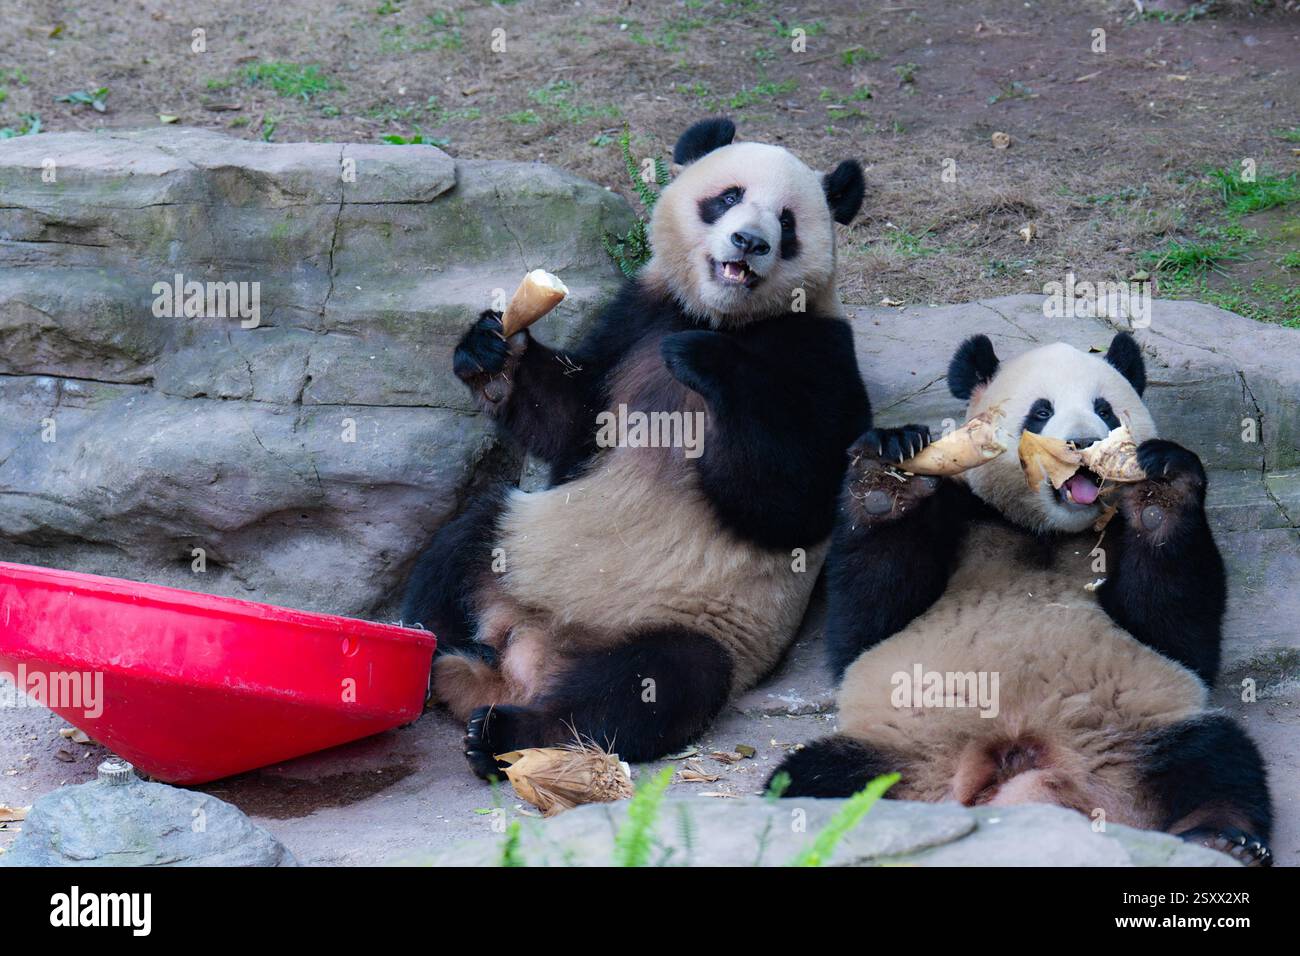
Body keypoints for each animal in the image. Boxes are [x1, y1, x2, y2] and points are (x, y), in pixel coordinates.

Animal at [402, 118, 872, 780]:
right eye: (728, 197)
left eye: (787, 221)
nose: (750, 242)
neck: (721, 316)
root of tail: (522, 666)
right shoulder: (636, 320)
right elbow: (572, 421)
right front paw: (492, 350)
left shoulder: (821, 351)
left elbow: (792, 502)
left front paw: (707, 362)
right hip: (518, 550)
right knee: (464, 543)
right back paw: (416, 658)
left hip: (691, 625)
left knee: (649, 685)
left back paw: (503, 734)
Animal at [770, 332, 1274, 866]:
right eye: (1040, 411)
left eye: (1104, 409)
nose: (1083, 443)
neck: (1046, 529)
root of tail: (1020, 777)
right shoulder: (965, 513)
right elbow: (864, 627)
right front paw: (884, 476)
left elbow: (1178, 635)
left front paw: (1162, 489)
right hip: (900, 752)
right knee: (815, 778)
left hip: (1135, 737)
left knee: (1215, 756)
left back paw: (1224, 838)